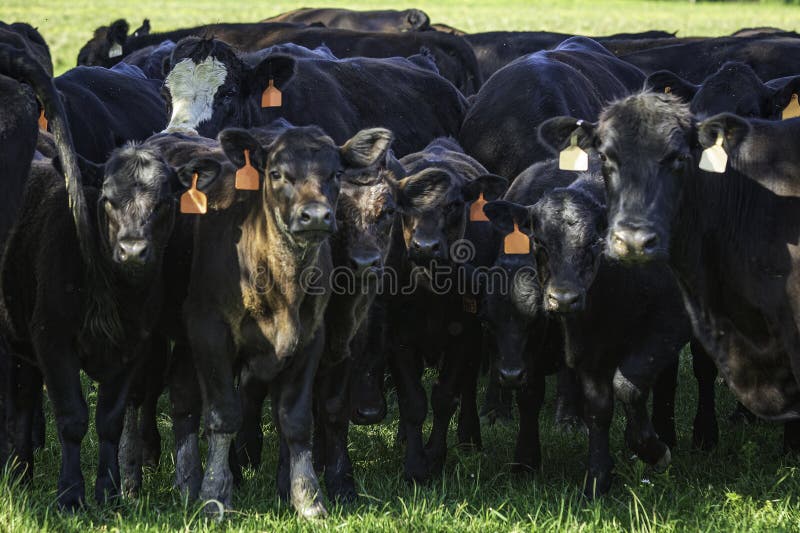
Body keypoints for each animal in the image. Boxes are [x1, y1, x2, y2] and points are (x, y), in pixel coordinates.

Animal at [182, 123, 392, 518]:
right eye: (277, 173)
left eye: (336, 174)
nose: (316, 216)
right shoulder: (207, 332)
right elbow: (222, 415)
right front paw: (214, 494)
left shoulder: (311, 339)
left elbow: (296, 421)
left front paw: (307, 497)